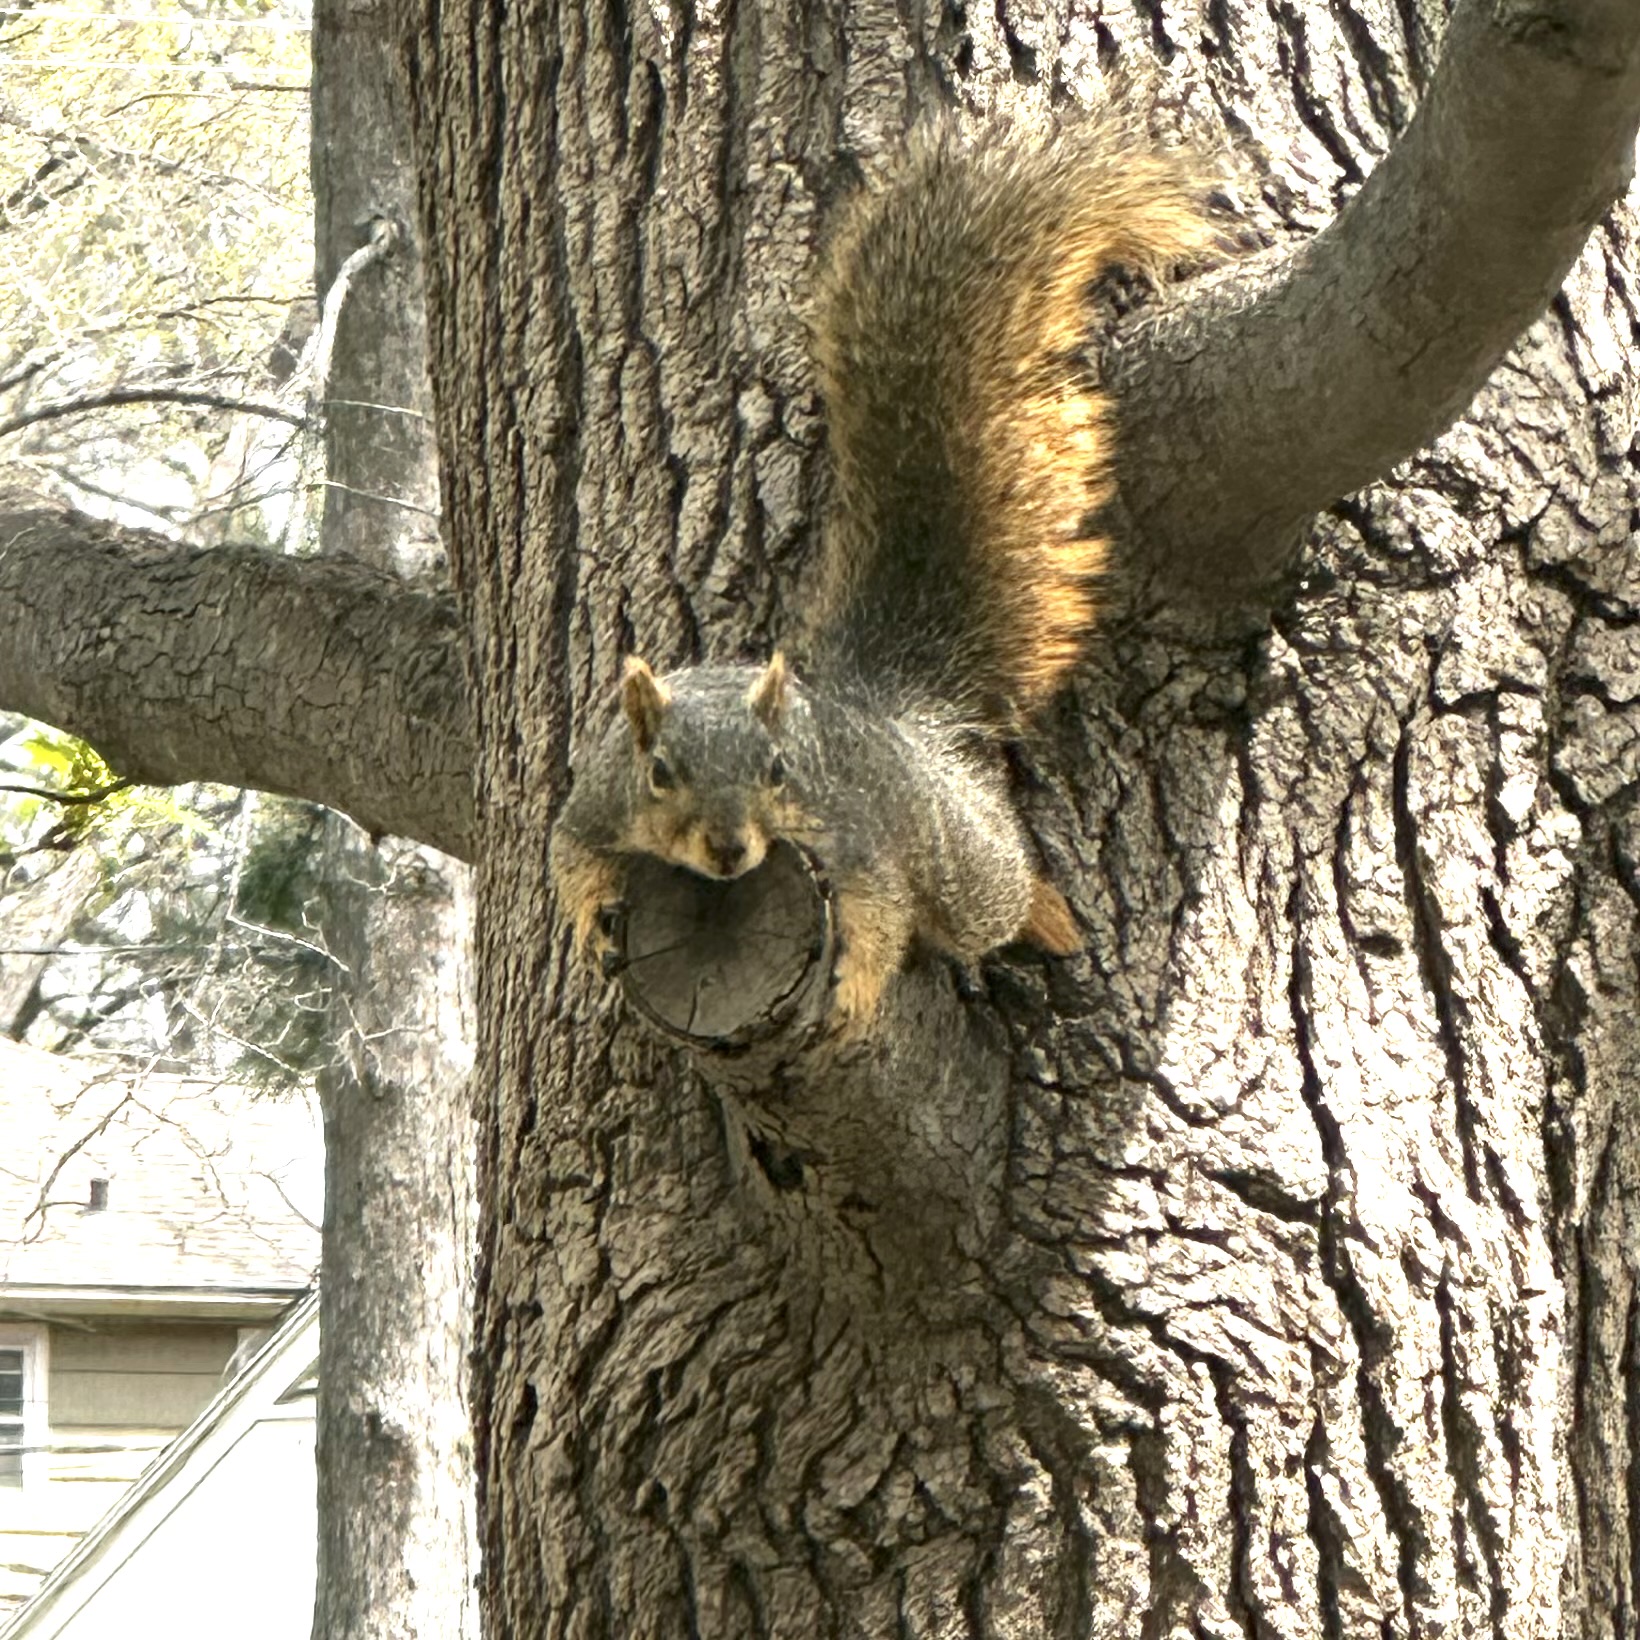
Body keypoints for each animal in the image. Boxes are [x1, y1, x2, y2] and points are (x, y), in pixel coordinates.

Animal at [550, 115, 1217, 1035]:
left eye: (779, 771)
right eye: (660, 775)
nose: (728, 850)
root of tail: (895, 709)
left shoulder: (856, 839)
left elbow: (879, 913)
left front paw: (858, 989)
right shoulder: (598, 797)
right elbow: (570, 857)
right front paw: (589, 926)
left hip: (959, 852)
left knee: (991, 891)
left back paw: (1047, 914)